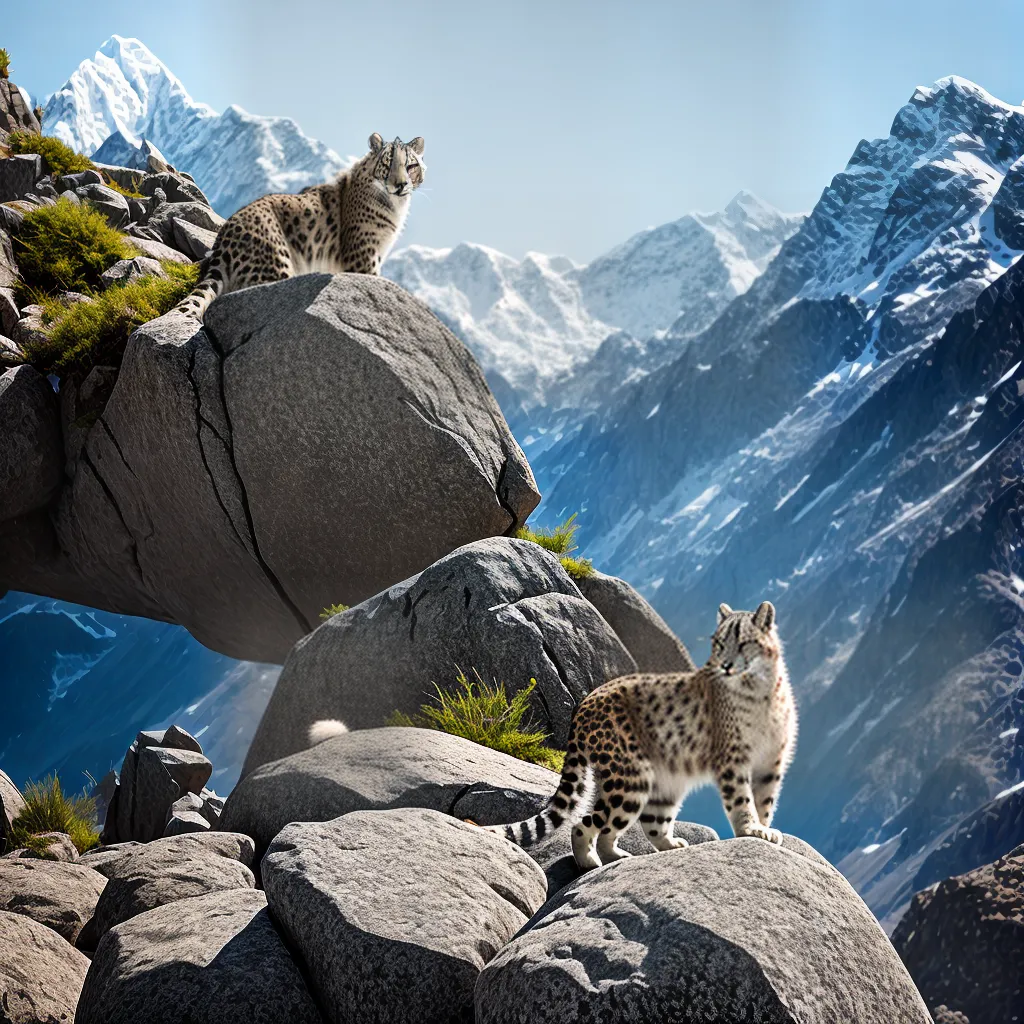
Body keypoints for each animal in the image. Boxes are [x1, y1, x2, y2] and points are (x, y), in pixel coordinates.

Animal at [175, 133, 425, 320]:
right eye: (388, 163)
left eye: (411, 165)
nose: (401, 184)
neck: (395, 206)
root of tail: (224, 235)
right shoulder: (364, 257)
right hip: (277, 265)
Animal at [484, 601, 797, 869]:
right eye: (719, 643)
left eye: (743, 642)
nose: (726, 665)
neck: (761, 693)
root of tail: (584, 703)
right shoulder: (734, 757)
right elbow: (742, 799)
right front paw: (750, 829)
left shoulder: (771, 760)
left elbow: (765, 801)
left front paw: (765, 829)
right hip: (629, 778)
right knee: (589, 822)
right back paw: (593, 861)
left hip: (662, 782)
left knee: (647, 822)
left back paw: (663, 847)